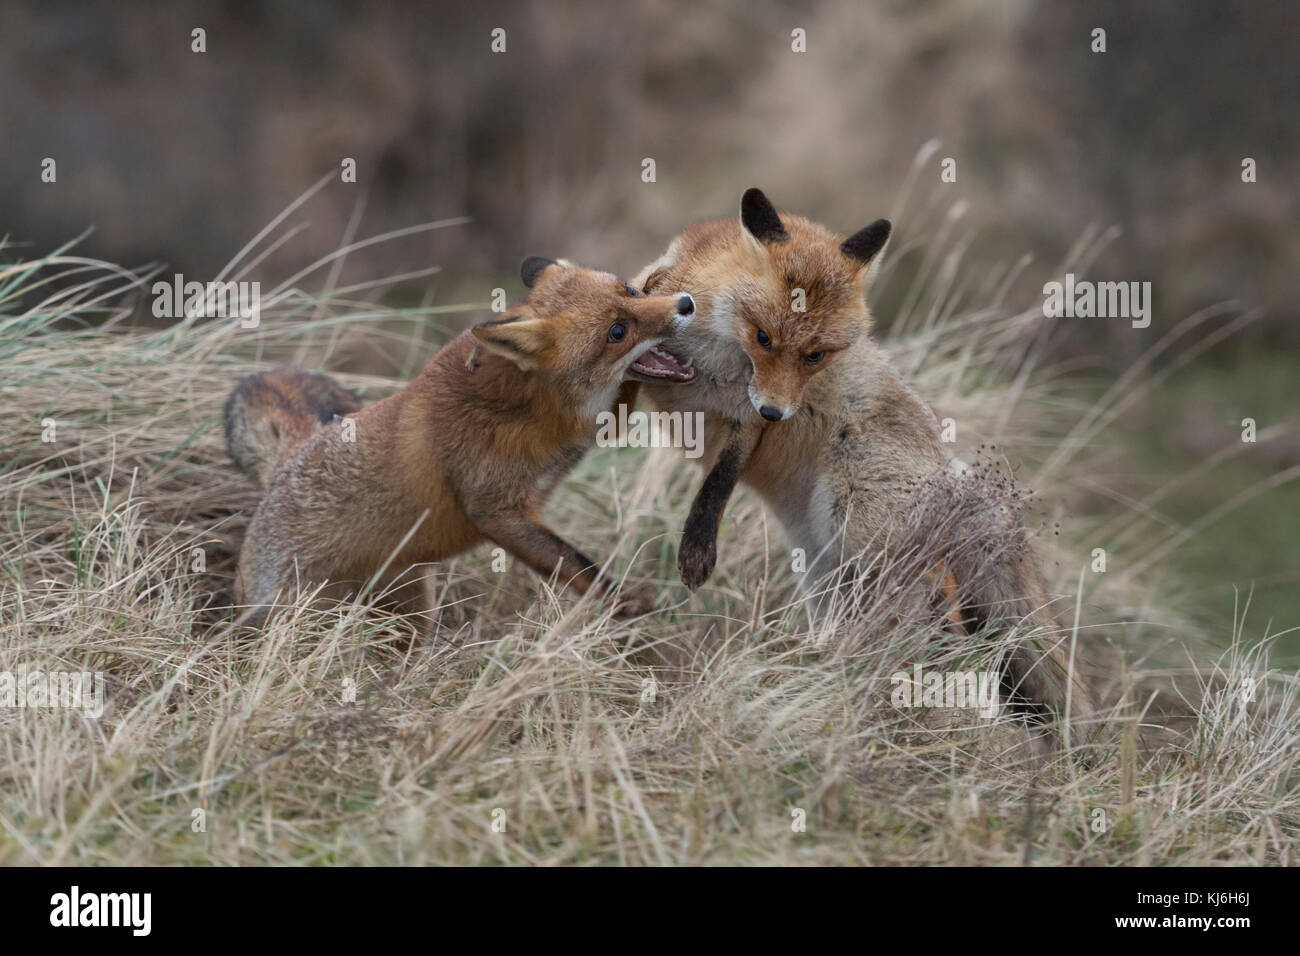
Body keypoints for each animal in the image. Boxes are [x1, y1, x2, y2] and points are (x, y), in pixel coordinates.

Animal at [224, 257, 697, 626]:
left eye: (631, 290)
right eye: (617, 332)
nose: (686, 303)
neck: (527, 409)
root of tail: (286, 462)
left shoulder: (595, 427)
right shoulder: (496, 511)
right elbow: (579, 564)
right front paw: (623, 603)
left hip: (414, 601)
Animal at [628, 187, 1095, 739]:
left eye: (816, 355)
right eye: (764, 337)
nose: (777, 412)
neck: (714, 355)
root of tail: (958, 478)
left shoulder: (744, 422)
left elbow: (717, 486)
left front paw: (697, 550)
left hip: (860, 533)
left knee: (945, 611)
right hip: (829, 569)